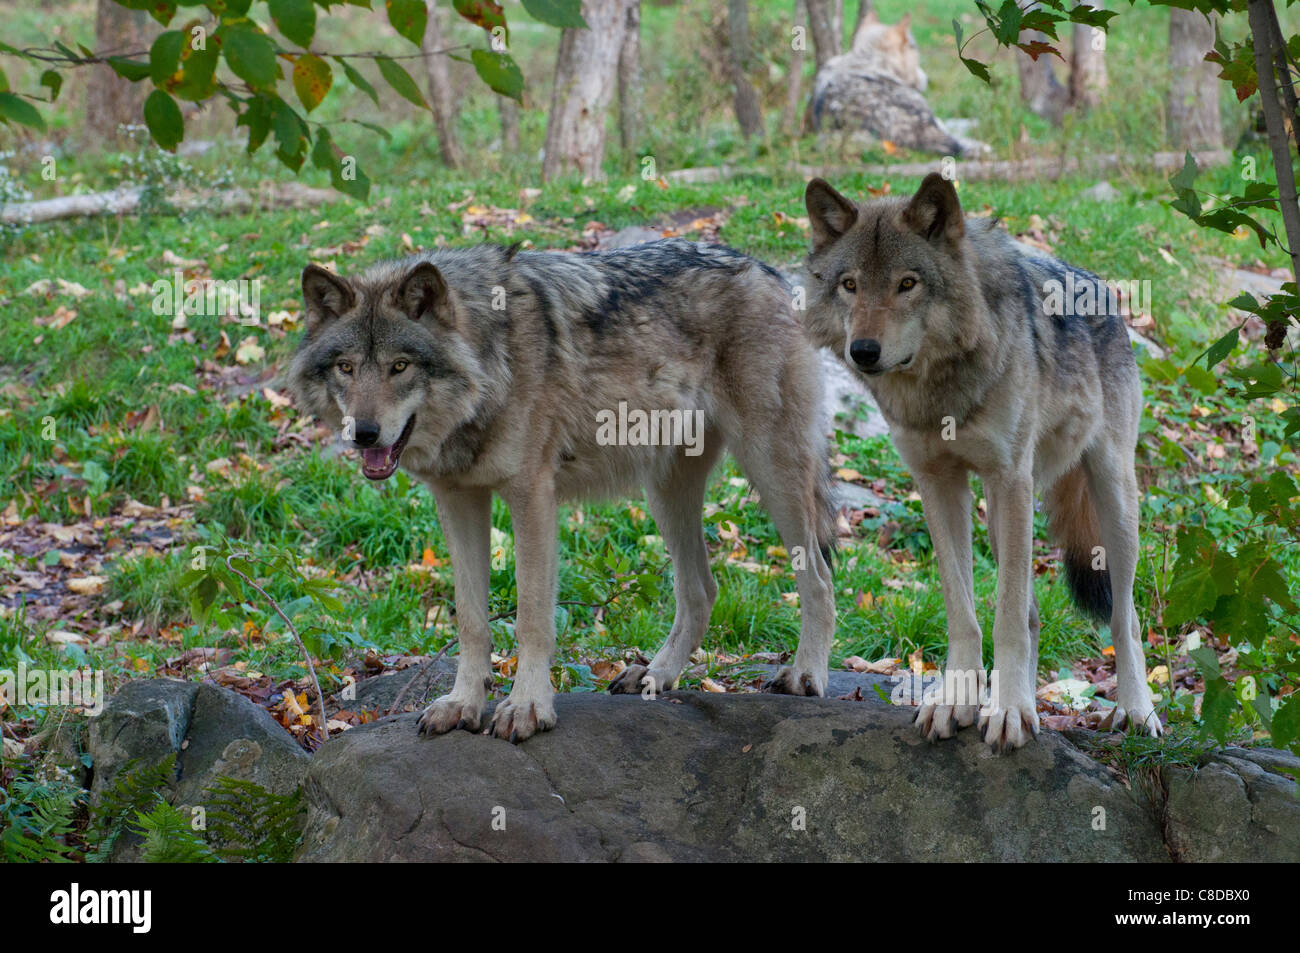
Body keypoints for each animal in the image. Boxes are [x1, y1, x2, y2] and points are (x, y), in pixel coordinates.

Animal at [288, 239, 837, 742]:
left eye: (400, 366)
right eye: (346, 367)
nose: (363, 433)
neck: (493, 360)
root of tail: (767, 270)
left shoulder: (532, 497)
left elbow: (531, 616)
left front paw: (527, 707)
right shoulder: (458, 499)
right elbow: (471, 620)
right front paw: (463, 704)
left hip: (772, 472)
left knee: (820, 579)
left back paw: (804, 675)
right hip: (664, 491)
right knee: (701, 590)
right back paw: (657, 676)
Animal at [800, 174, 1160, 751]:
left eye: (907, 283)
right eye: (850, 285)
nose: (864, 351)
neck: (939, 390)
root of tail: (1098, 283)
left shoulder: (1007, 477)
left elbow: (1006, 617)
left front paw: (1009, 713)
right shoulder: (938, 483)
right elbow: (965, 612)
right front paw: (961, 702)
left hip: (1110, 501)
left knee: (1124, 618)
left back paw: (1136, 712)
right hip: (1005, 508)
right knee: (1035, 615)